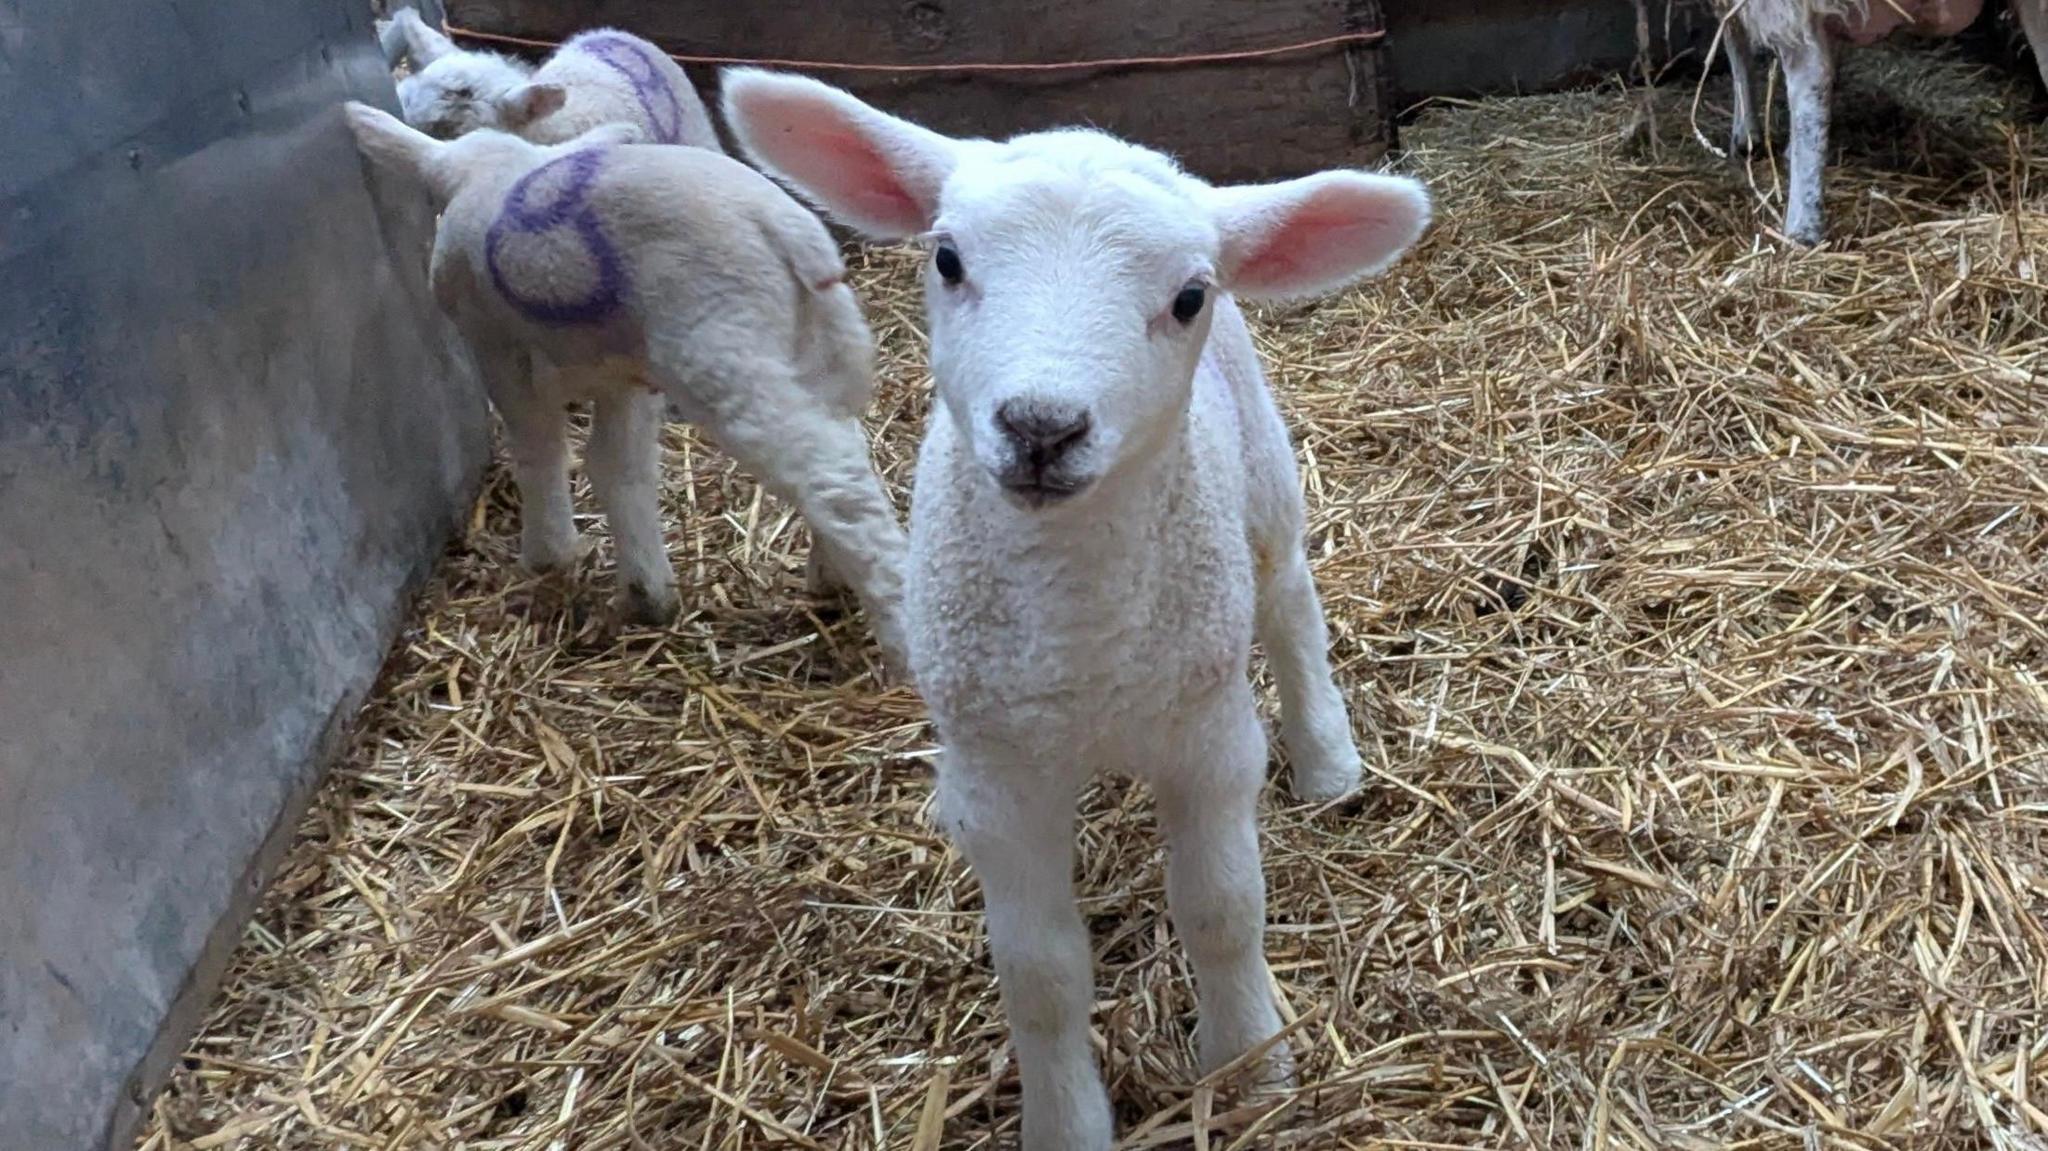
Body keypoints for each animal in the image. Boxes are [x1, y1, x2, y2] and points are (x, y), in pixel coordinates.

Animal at [340, 102, 910, 673]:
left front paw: (547, 553)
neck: (491, 169)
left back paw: (904, 642)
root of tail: (786, 229)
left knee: (834, 483)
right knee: (844, 444)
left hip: (723, 349)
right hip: (804, 346)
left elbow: (539, 449)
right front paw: (647, 592)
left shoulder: (497, 348)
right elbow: (618, 465)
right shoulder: (623, 371)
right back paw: (830, 575)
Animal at [721, 70, 1430, 1150]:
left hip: (1258, 475)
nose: (1041, 427)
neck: (1076, 625)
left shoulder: (1207, 734)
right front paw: (1066, 1117)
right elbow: (1041, 973)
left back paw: (1326, 757)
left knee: (1288, 596)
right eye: (947, 257)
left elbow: (1223, 908)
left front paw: (1249, 1066)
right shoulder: (1000, 774)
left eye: (1186, 297)